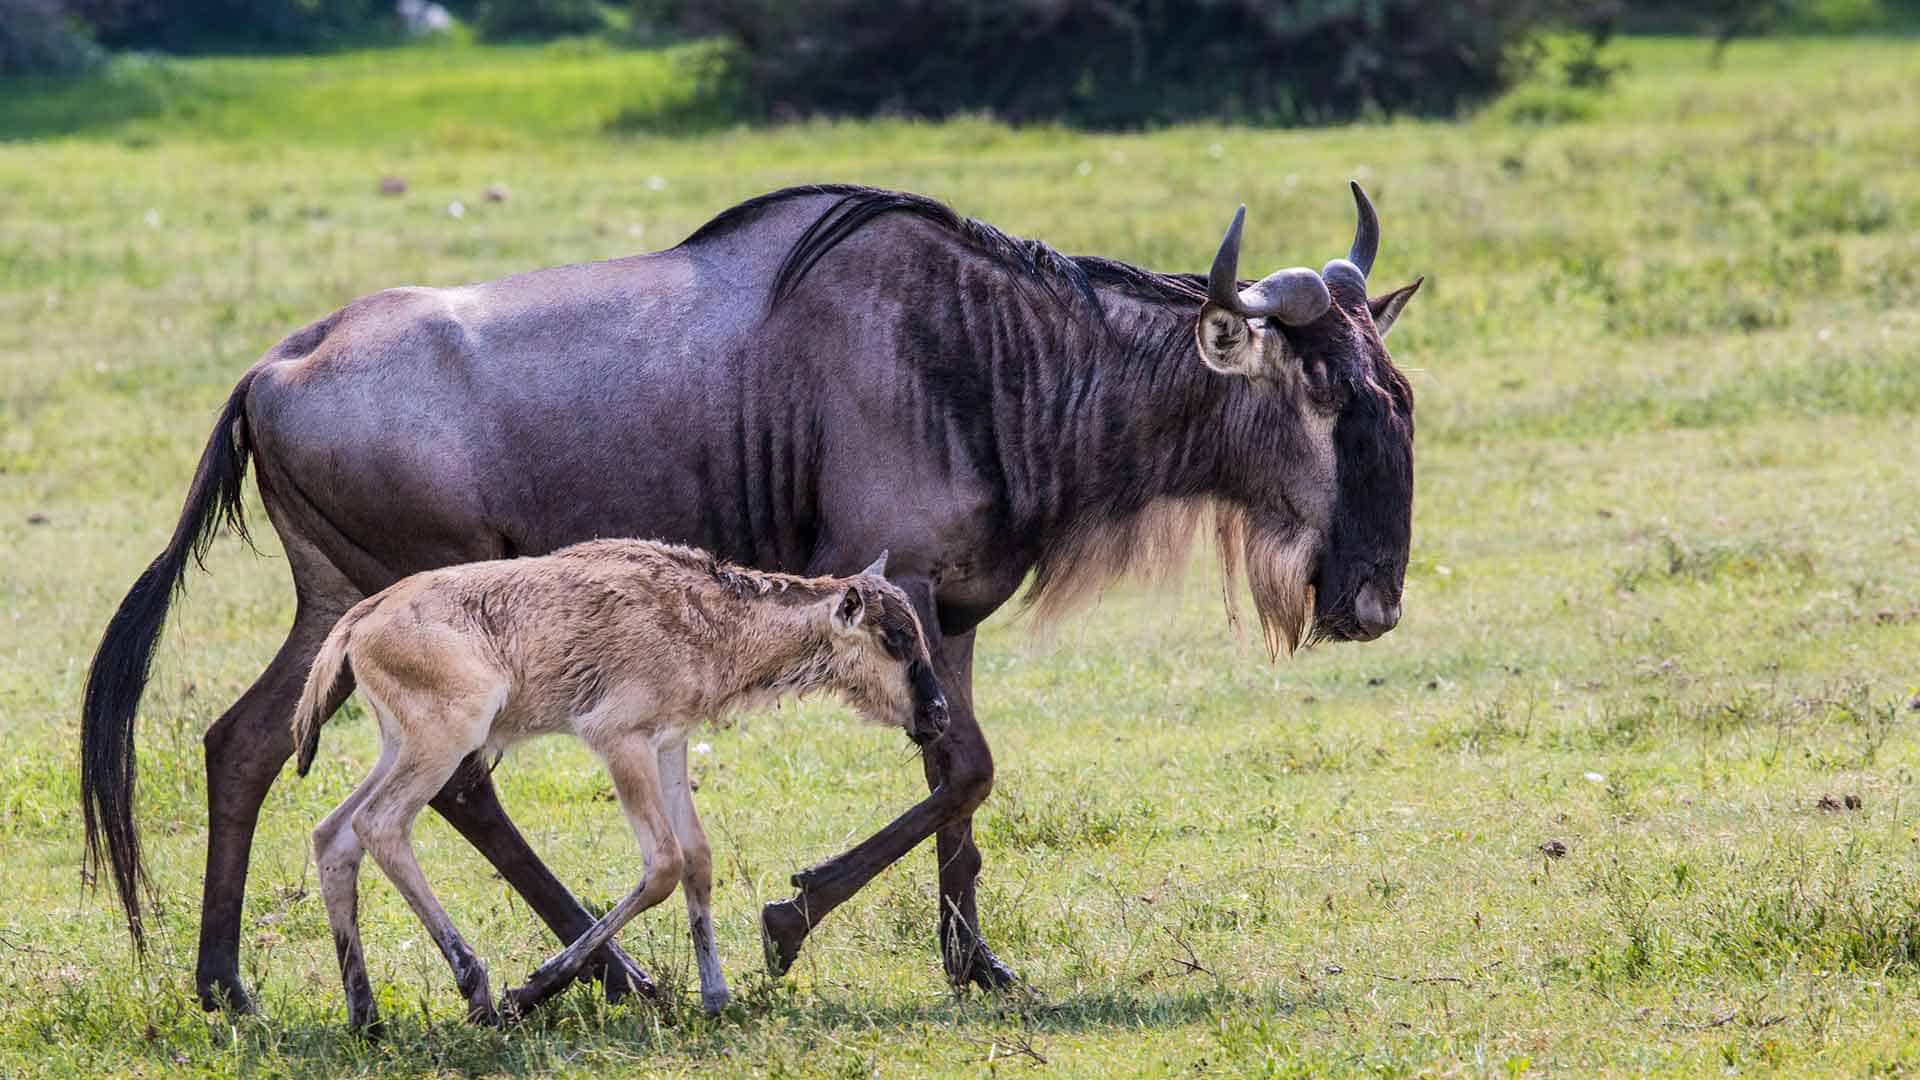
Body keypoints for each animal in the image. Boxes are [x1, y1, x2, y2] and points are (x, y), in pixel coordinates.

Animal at [289, 540, 947, 1030]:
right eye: (893, 638)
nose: (937, 715)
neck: (706, 616)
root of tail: (361, 620)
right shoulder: (619, 741)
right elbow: (662, 865)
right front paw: (534, 987)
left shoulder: (671, 745)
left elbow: (698, 859)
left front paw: (716, 997)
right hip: (447, 739)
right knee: (380, 825)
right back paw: (477, 990)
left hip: (401, 746)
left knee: (333, 834)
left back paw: (366, 1017)